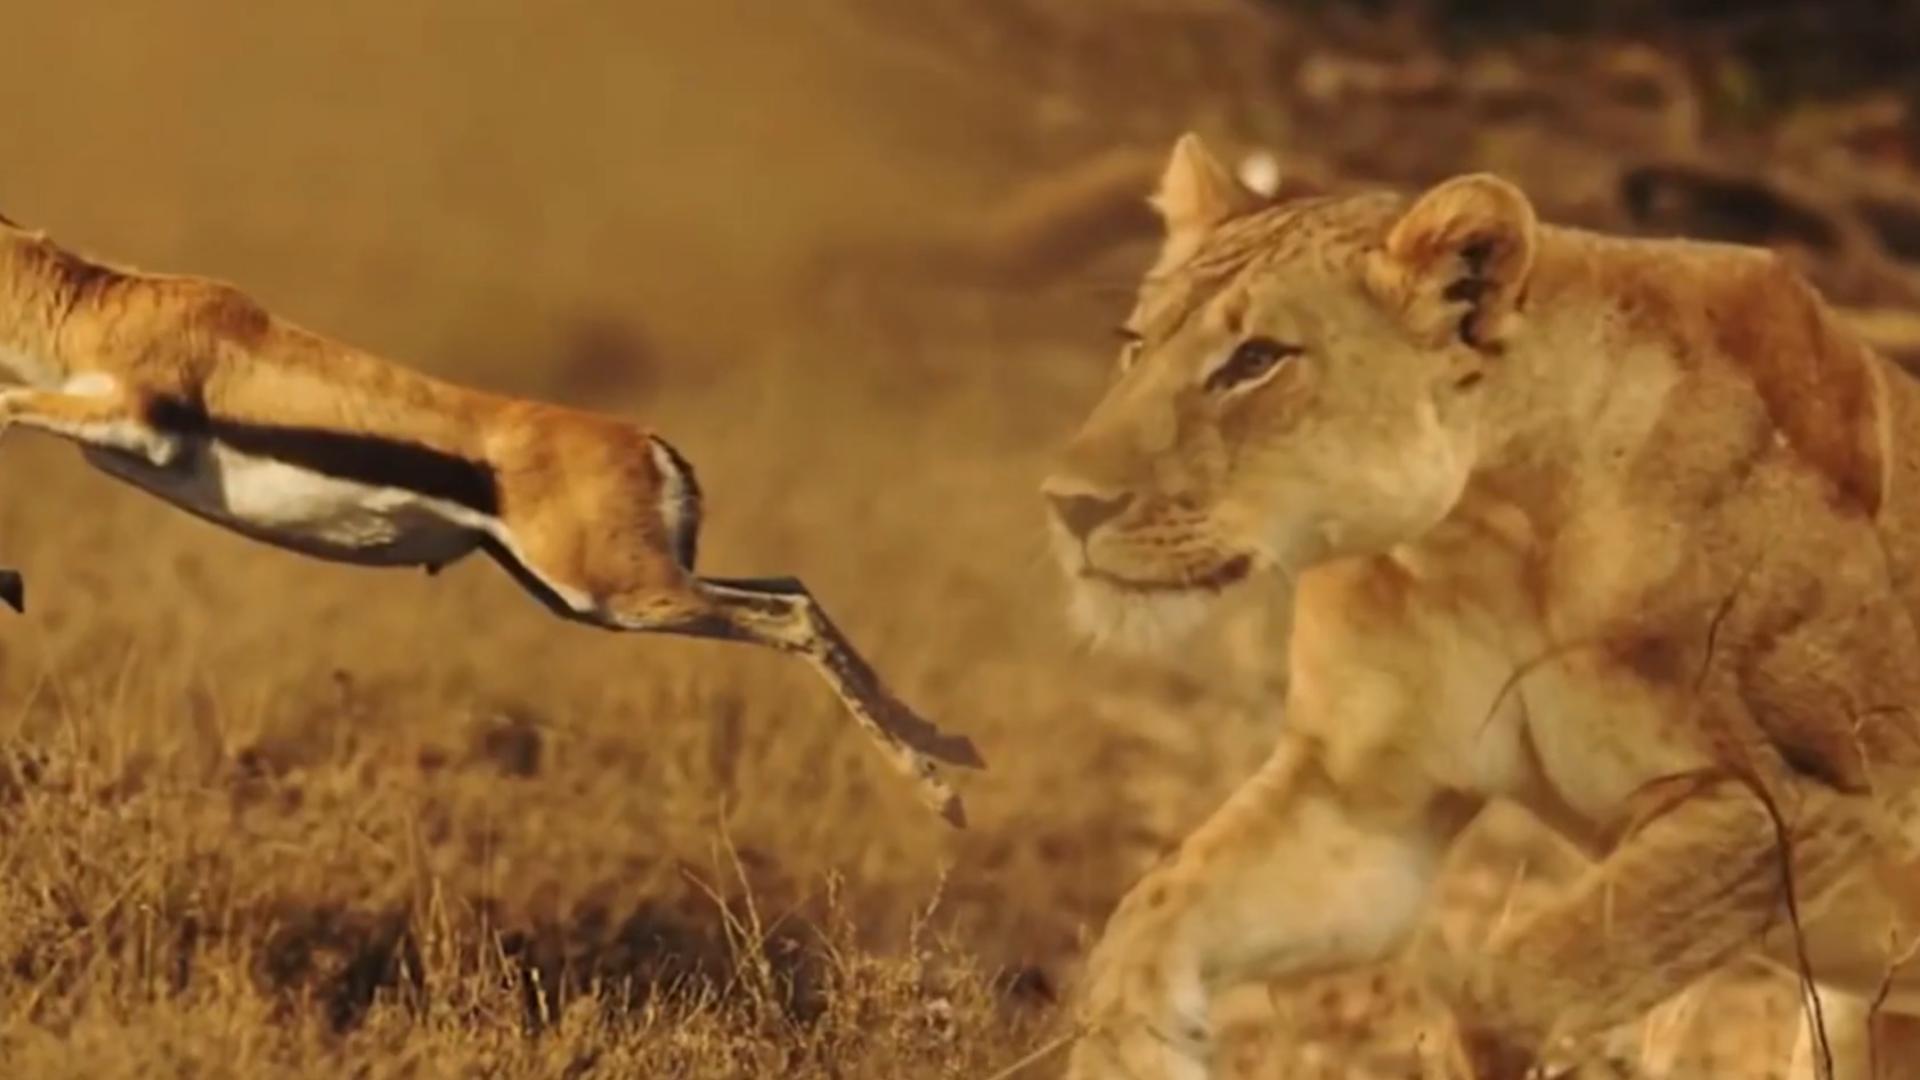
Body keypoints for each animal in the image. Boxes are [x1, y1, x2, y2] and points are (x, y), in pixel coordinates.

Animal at [1041, 133, 1920, 1079]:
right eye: (1136, 344)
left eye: (1256, 360)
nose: (1068, 505)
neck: (1484, 541)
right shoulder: (1359, 803)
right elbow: (1153, 913)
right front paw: (1137, 1045)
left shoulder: (1814, 795)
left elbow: (1523, 978)